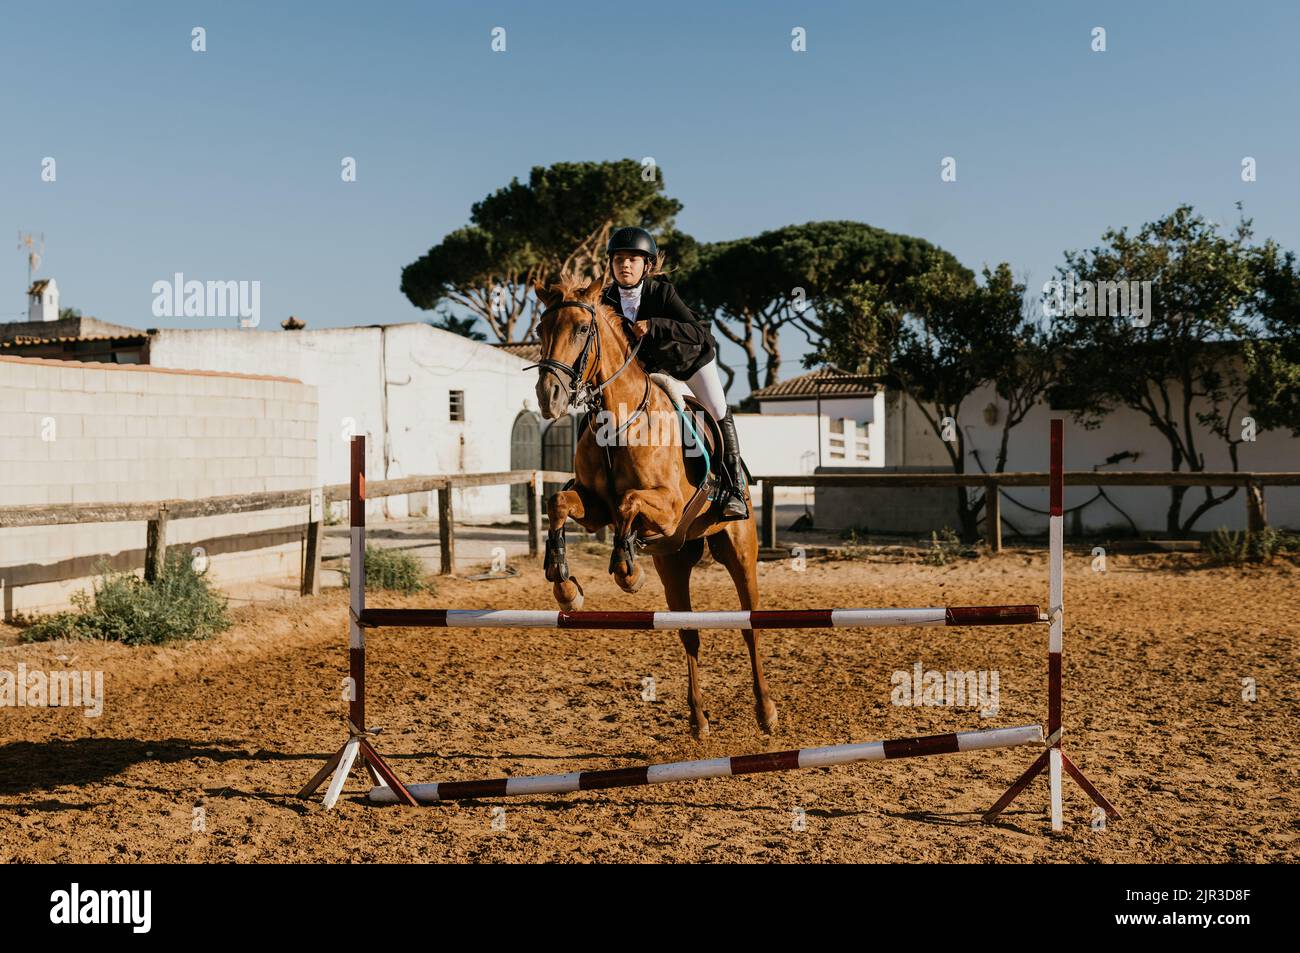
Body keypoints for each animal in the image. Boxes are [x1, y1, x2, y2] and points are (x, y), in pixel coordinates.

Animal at [529, 274, 777, 738]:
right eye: (540, 329)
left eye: (581, 329)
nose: (547, 397)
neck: (618, 420)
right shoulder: (595, 509)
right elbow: (558, 502)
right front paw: (565, 585)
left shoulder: (669, 509)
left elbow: (630, 504)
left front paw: (627, 569)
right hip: (675, 562)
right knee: (689, 635)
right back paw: (698, 720)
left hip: (738, 551)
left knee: (750, 627)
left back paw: (766, 711)